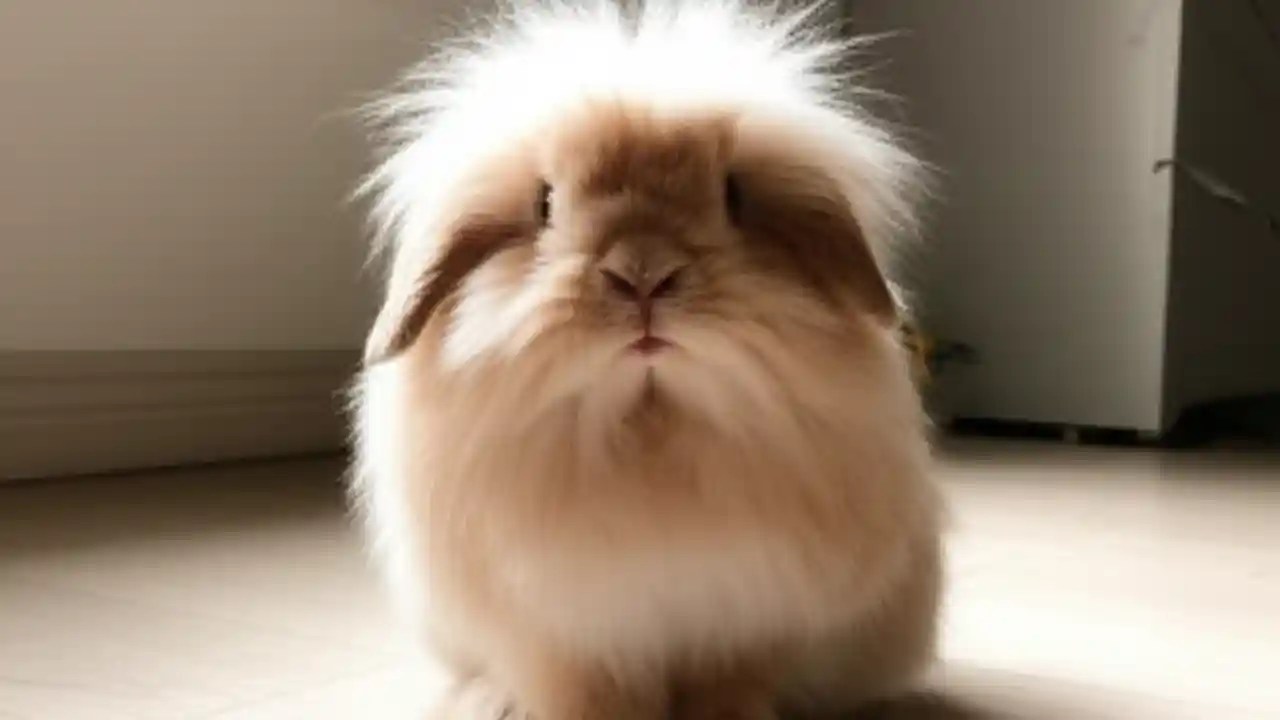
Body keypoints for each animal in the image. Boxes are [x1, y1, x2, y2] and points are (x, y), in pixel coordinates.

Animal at [350, 2, 942, 718]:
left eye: (734, 196)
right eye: (545, 202)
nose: (643, 276)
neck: (649, 424)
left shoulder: (751, 624)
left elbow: (732, 684)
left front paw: (732, 717)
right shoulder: (568, 636)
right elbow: (589, 692)